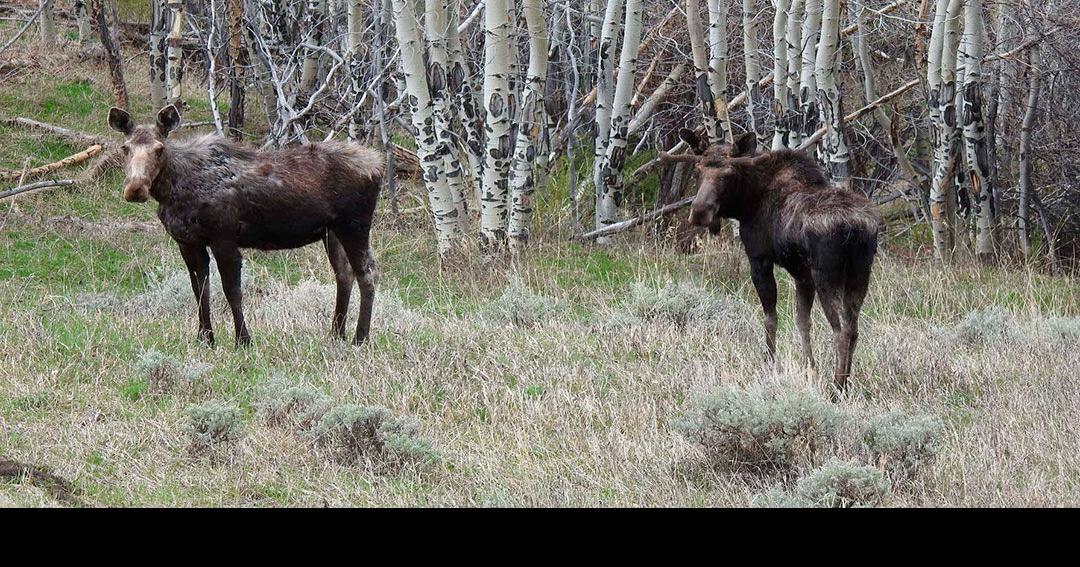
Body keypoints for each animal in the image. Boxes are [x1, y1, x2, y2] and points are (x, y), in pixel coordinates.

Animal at [107, 105, 383, 347]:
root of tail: (378, 167)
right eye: (125, 148)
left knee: (368, 273)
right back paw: (336, 333)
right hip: (332, 231)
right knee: (344, 274)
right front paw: (205, 339)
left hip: (354, 225)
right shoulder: (187, 242)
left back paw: (360, 338)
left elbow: (232, 291)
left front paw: (243, 340)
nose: (135, 189)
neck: (172, 191)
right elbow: (200, 291)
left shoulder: (224, 238)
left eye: (159, 148)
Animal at [663, 129, 883, 397]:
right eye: (697, 171)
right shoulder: (803, 275)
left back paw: (837, 388)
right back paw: (845, 383)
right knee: (854, 327)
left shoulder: (759, 259)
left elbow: (771, 318)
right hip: (860, 273)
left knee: (842, 329)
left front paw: (769, 363)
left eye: (729, 175)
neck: (747, 203)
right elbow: (802, 321)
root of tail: (856, 227)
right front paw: (809, 368)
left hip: (827, 275)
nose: (699, 212)